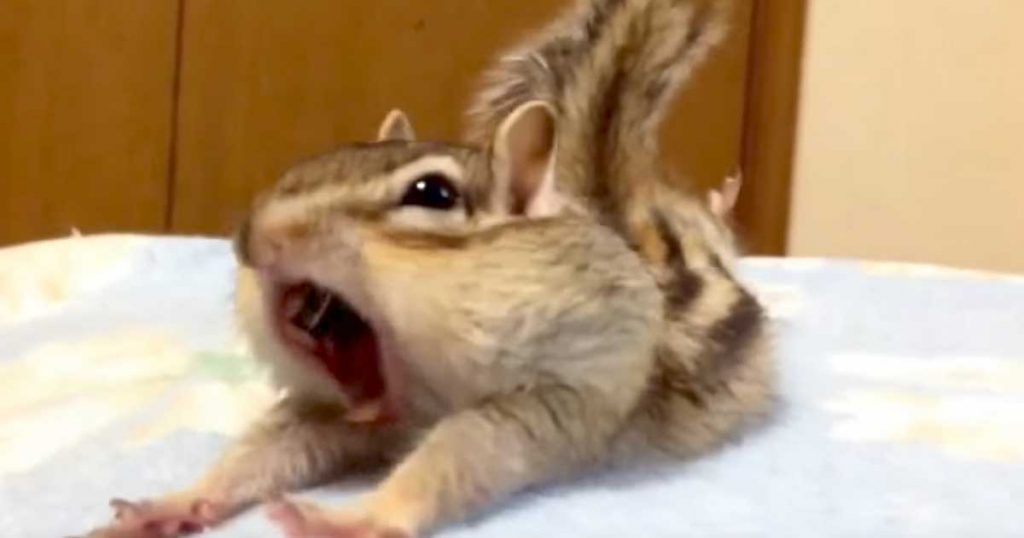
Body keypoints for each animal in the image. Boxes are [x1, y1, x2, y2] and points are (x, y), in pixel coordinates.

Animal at [80, 1, 774, 537]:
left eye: (433, 193)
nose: (251, 238)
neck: (416, 396)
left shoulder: (560, 399)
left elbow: (457, 456)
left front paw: (356, 517)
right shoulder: (330, 411)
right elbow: (260, 451)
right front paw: (170, 503)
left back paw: (725, 196)